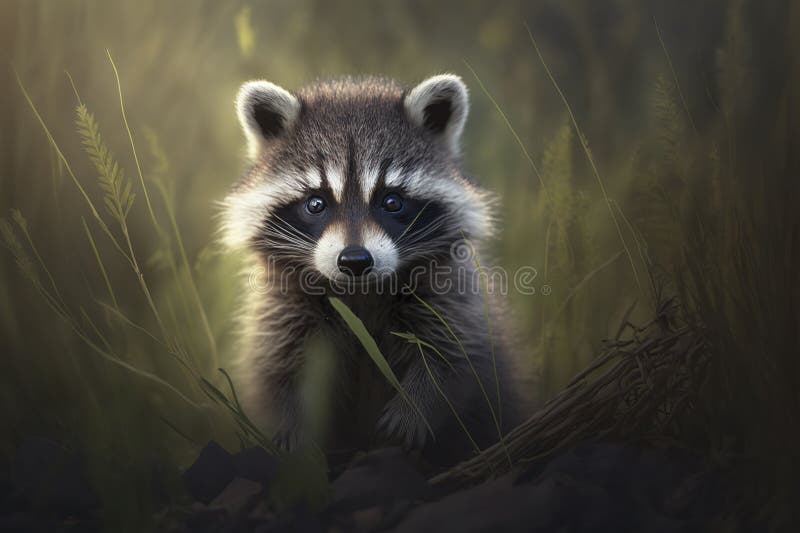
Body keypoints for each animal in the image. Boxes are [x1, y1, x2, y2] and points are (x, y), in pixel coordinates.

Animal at [221, 74, 527, 463]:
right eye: (316, 203)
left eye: (391, 201)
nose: (354, 261)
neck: (359, 290)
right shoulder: (280, 306)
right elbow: (277, 367)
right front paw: (292, 426)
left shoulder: (452, 288)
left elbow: (458, 353)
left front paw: (417, 405)